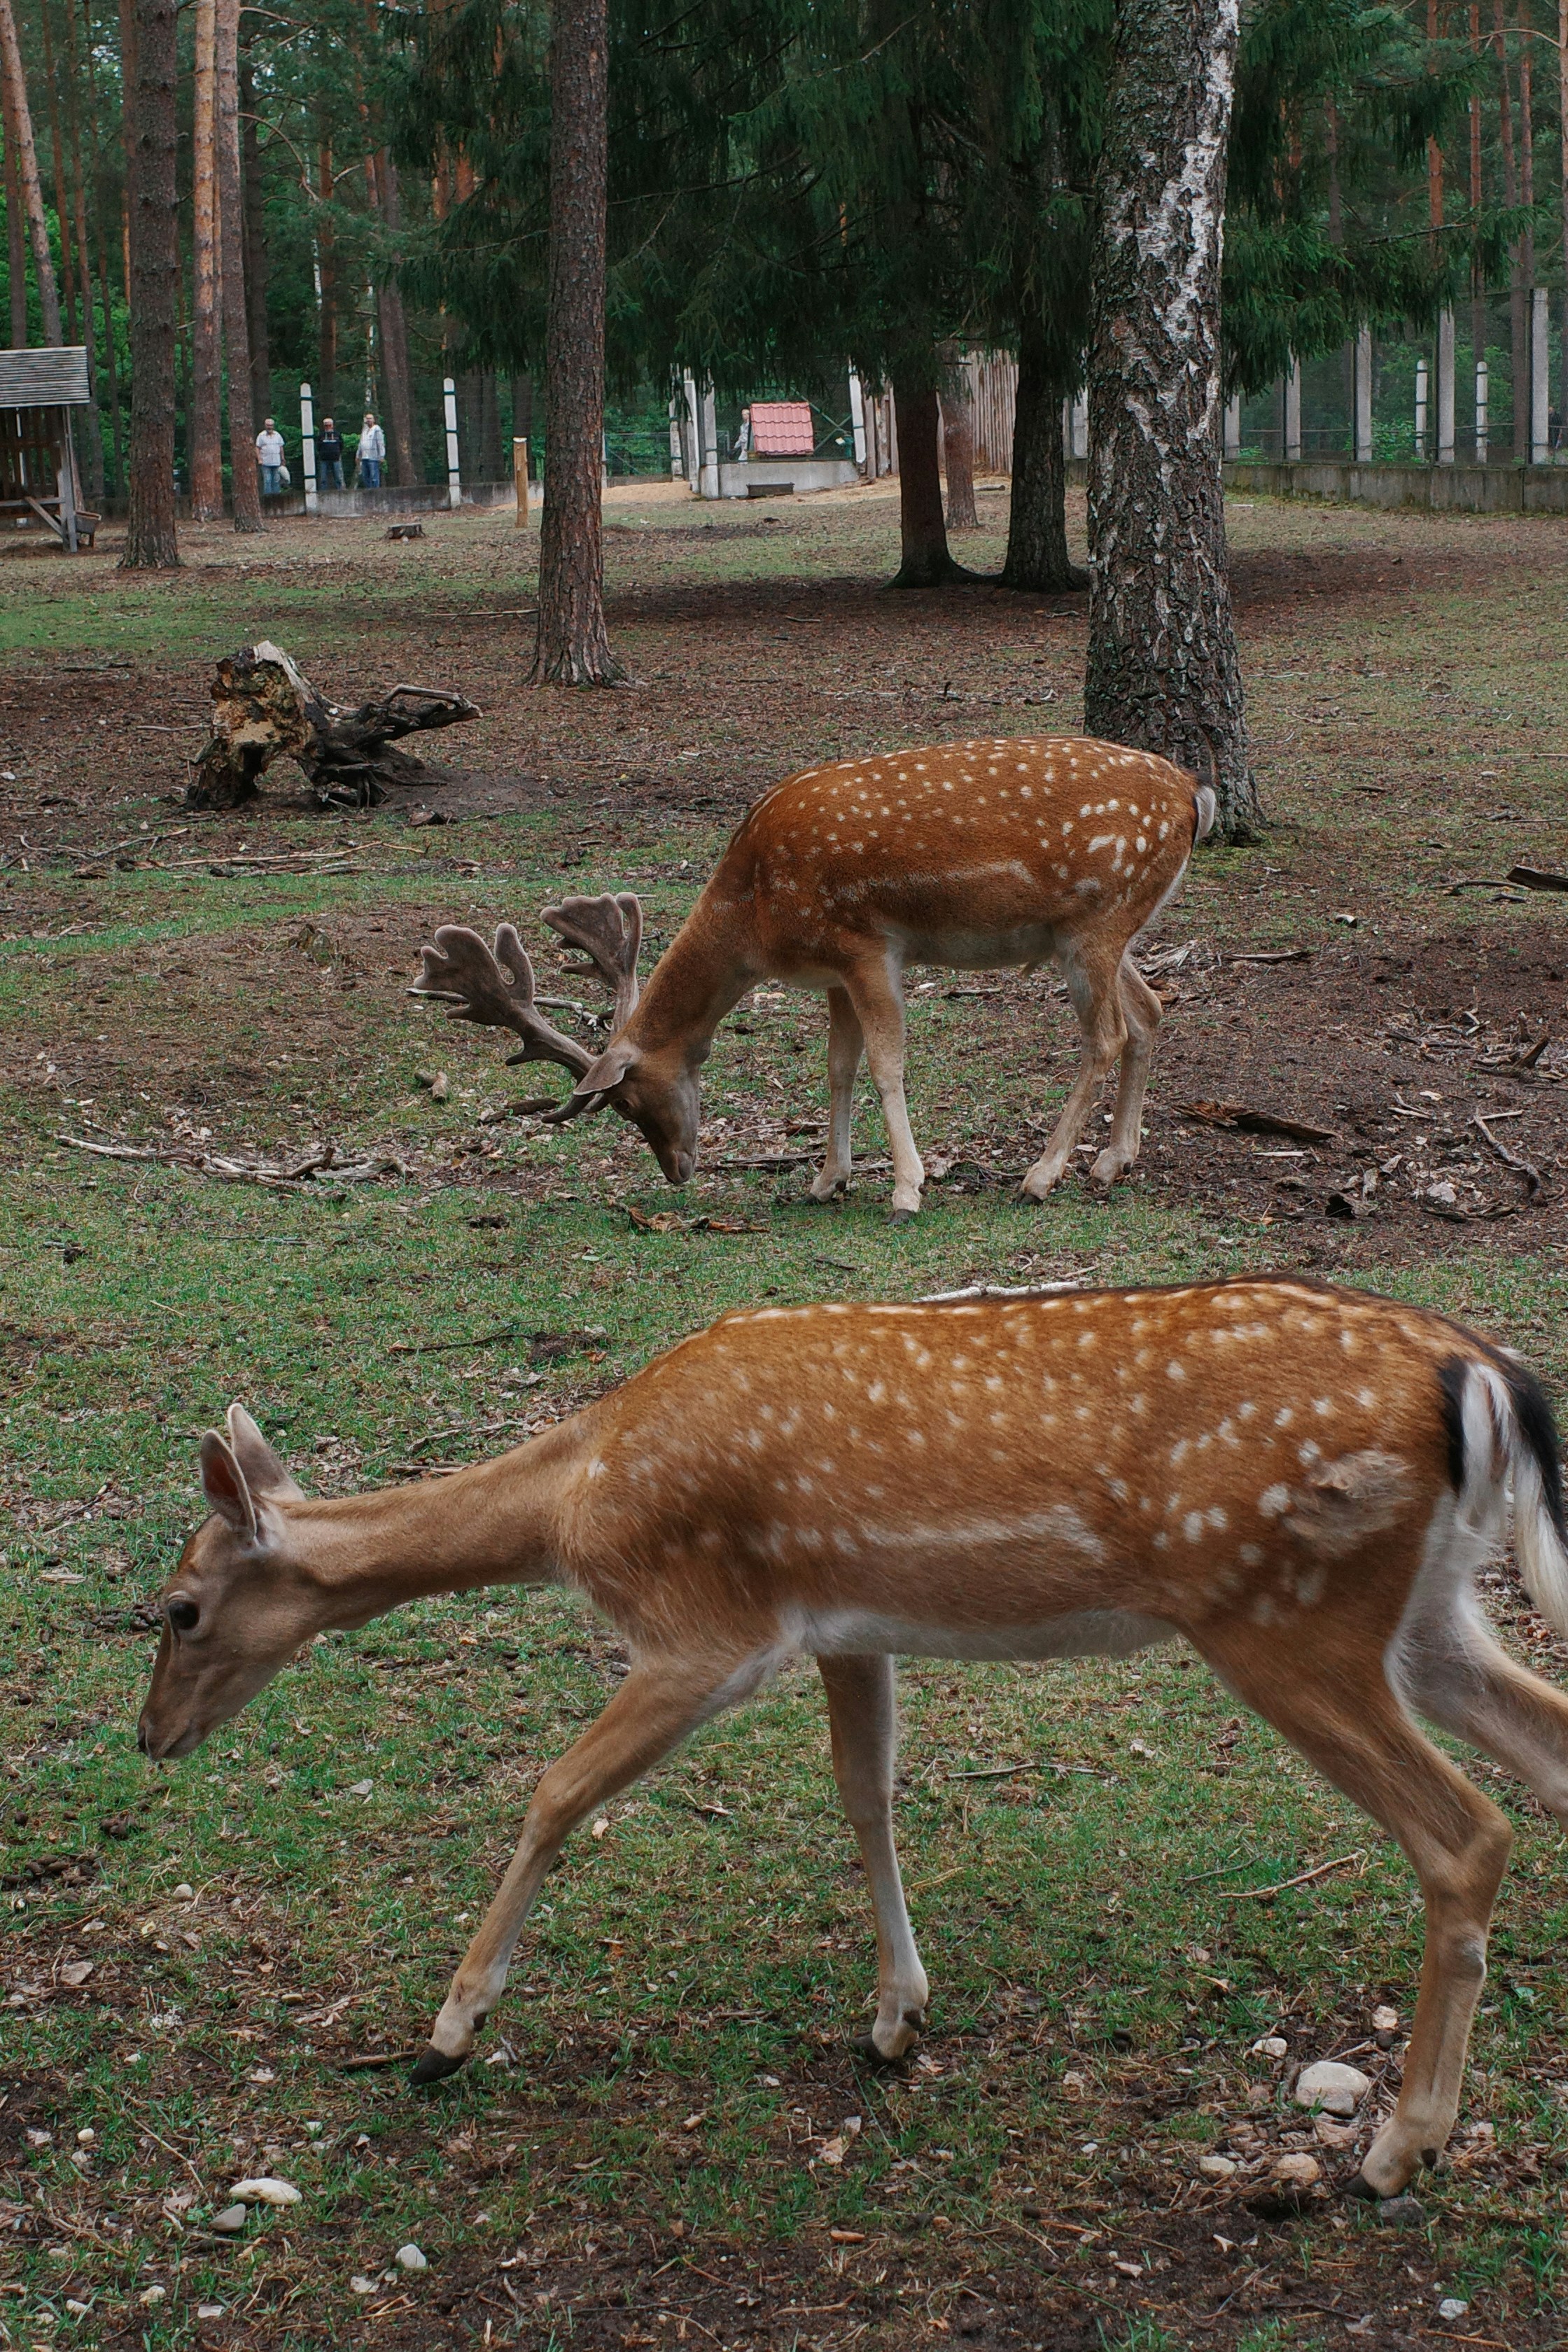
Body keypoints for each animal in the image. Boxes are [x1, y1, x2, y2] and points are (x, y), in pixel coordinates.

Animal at [138, 1274, 1568, 2203]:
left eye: (181, 1606)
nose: (151, 1735)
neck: (575, 1501)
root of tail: (1483, 1379)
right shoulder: (846, 1627)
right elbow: (866, 1792)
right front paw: (895, 2019)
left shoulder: (708, 1631)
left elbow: (555, 1791)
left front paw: (447, 2032)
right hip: (1423, 1614)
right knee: (1542, 1756)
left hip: (1282, 1612)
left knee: (1468, 1833)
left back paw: (1396, 2150)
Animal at [411, 735, 1216, 1217]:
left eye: (628, 1103)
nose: (677, 1171)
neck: (757, 917)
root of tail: (1191, 793)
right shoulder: (833, 972)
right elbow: (837, 1068)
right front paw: (827, 1177)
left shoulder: (867, 947)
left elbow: (888, 1065)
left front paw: (907, 1187)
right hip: (1102, 930)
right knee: (1151, 1013)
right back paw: (1112, 1161)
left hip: (1095, 922)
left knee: (1106, 1036)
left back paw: (1042, 1175)